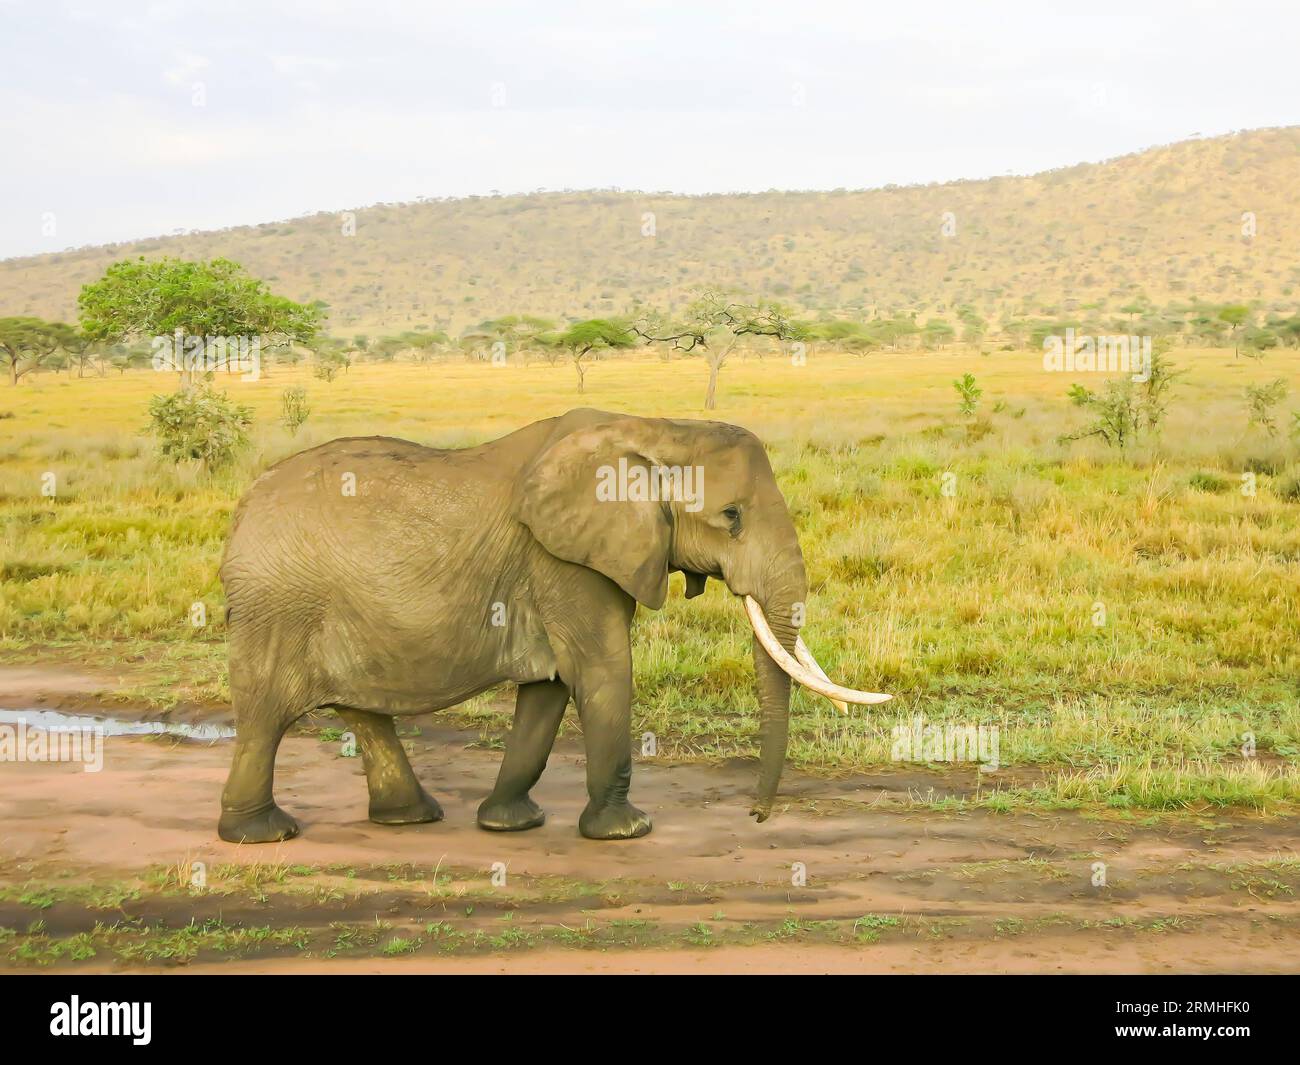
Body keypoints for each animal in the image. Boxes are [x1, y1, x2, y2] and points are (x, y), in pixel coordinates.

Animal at [216, 408, 889, 844]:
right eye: (731, 516)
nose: (756, 817)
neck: (657, 427)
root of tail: (241, 509)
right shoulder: (564, 561)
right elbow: (602, 669)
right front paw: (627, 831)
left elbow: (550, 688)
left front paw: (509, 824)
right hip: (278, 604)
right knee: (267, 712)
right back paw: (262, 835)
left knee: (360, 708)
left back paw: (409, 818)